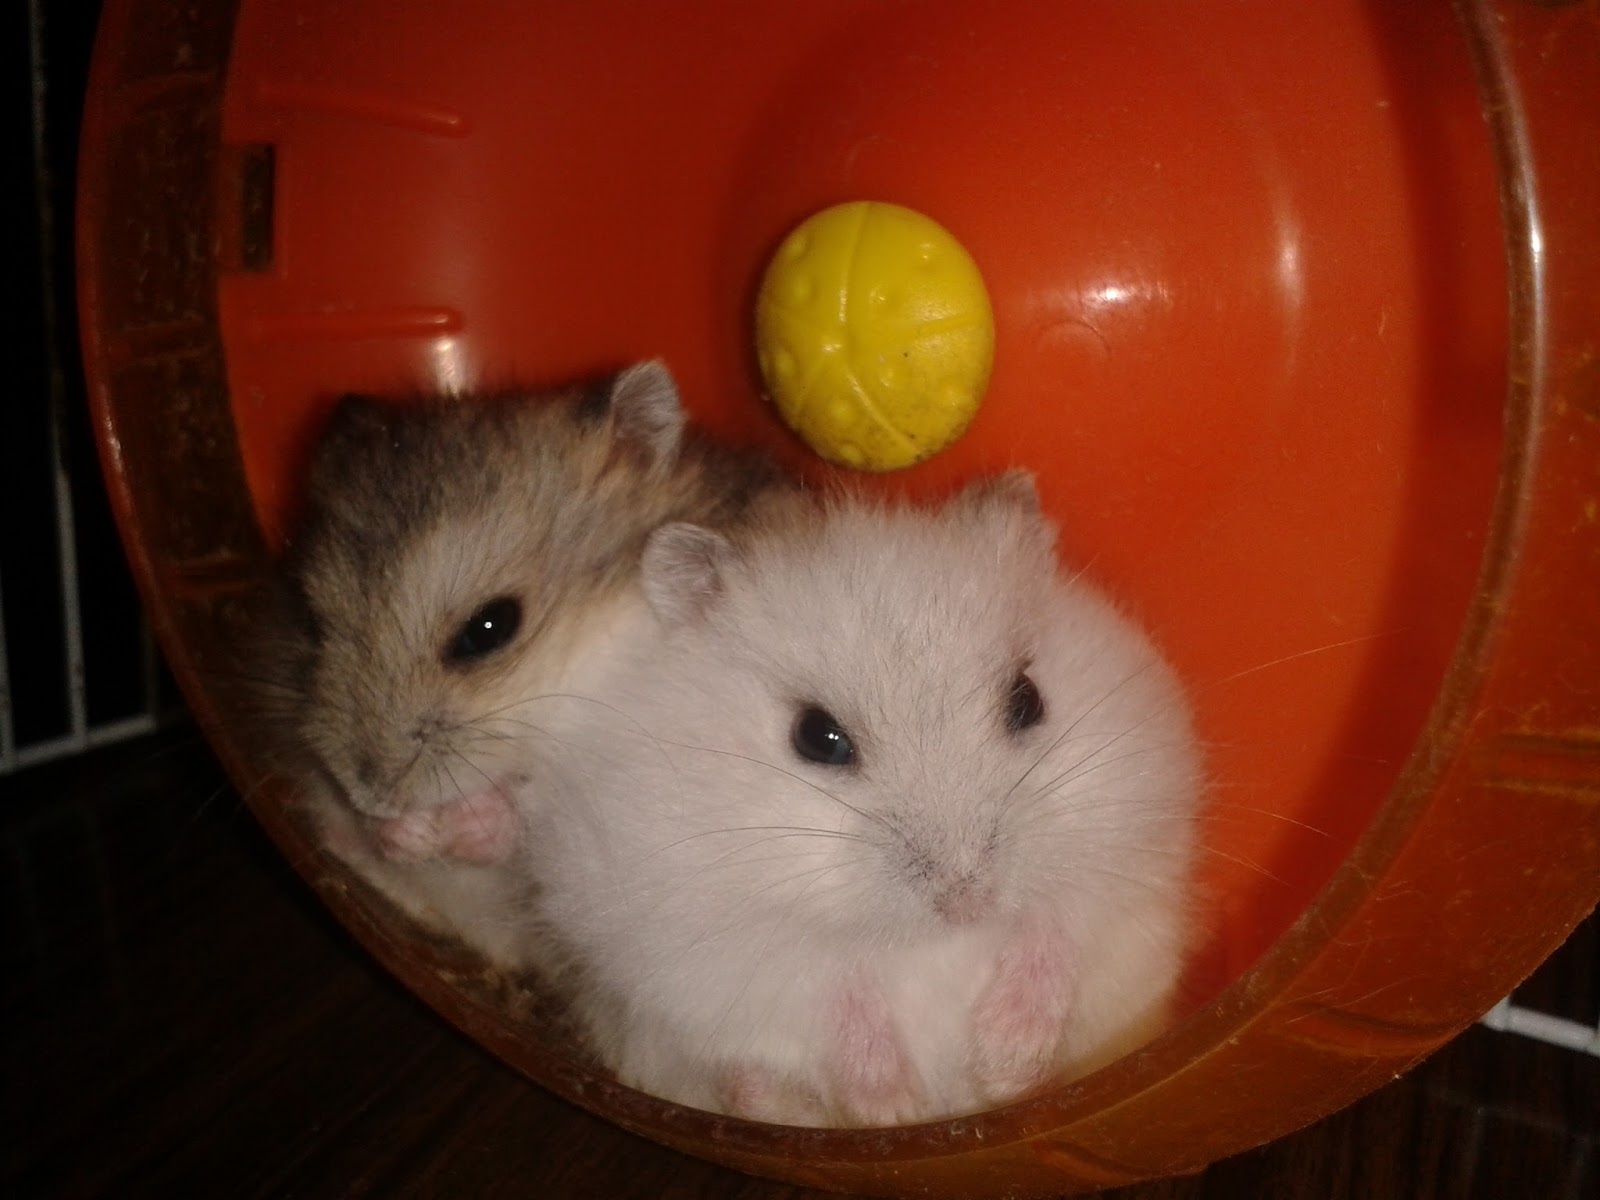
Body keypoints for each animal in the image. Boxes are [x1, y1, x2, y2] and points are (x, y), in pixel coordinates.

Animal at [531, 473, 1201, 1125]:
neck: (930, 940)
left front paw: (1003, 1066)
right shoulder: (723, 944)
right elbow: (836, 991)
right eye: (816, 738)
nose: (968, 901)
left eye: (1027, 700)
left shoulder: (1125, 854)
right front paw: (894, 1109)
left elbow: (1056, 928)